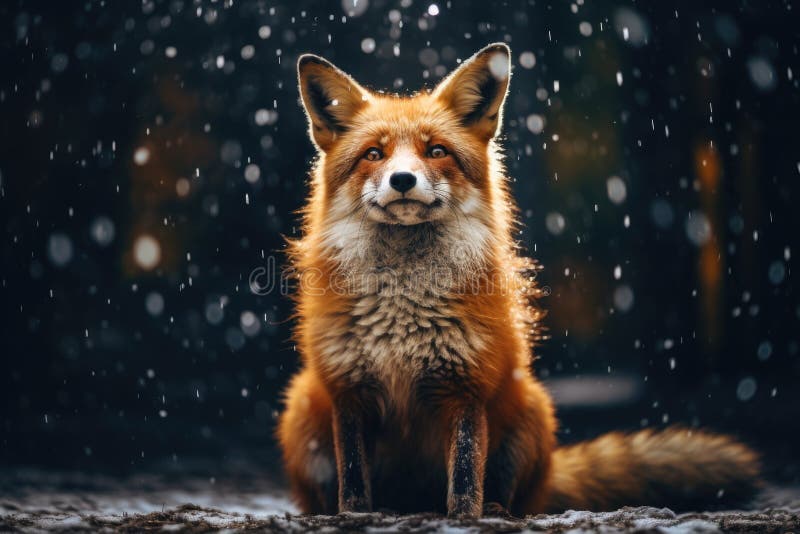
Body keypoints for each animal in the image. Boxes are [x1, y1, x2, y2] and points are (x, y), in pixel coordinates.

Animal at [276, 43, 760, 518]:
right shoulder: (349, 391)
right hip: (301, 408)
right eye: (373, 155)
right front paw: (354, 517)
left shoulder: (466, 385)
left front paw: (466, 519)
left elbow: (465, 478)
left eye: (437, 151)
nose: (402, 179)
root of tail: (411, 502)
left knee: (514, 498)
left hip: (533, 407)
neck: (403, 300)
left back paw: (498, 510)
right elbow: (354, 482)